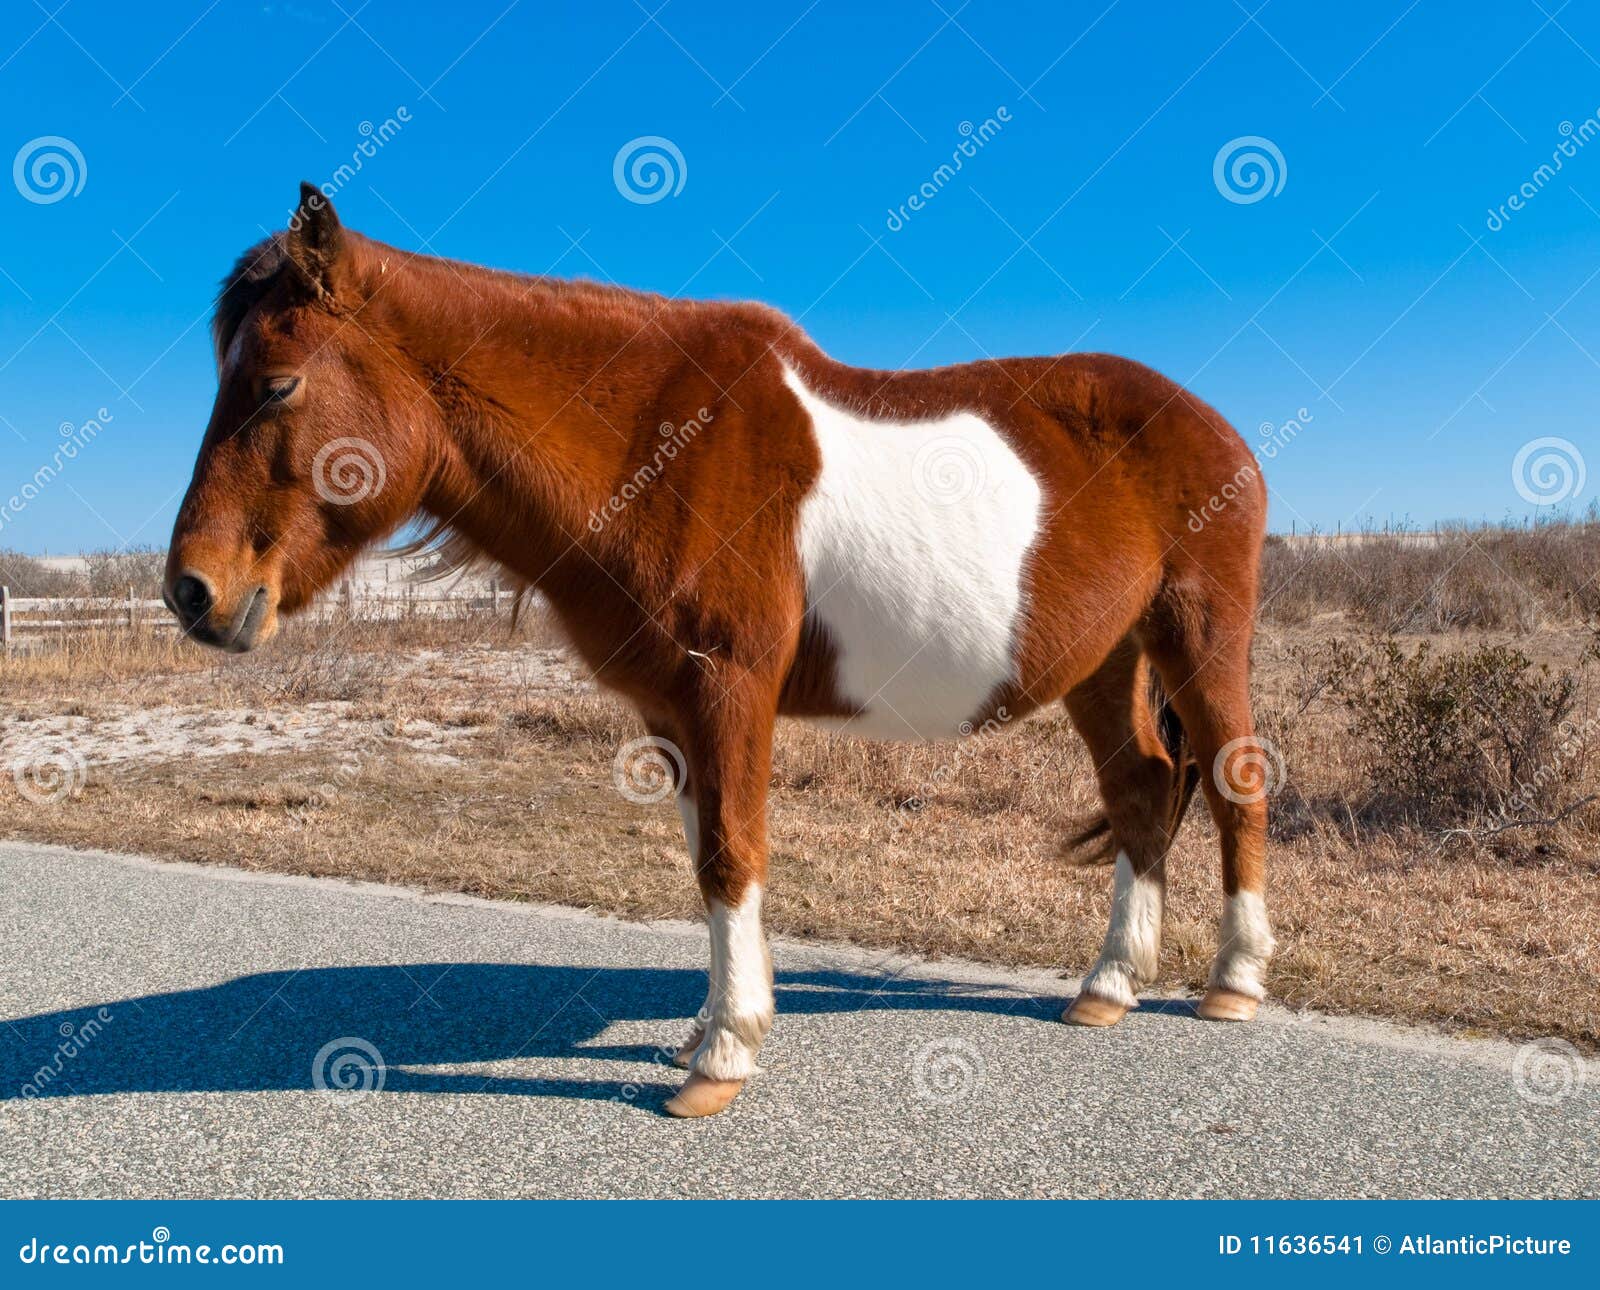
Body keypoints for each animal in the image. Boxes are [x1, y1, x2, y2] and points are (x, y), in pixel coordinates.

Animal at [166, 183, 1274, 1118]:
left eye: (276, 385)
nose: (193, 592)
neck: (654, 445)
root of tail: (1219, 432)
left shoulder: (729, 688)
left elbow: (733, 853)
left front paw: (723, 1057)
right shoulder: (671, 709)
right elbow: (705, 862)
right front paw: (706, 1030)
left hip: (1198, 632)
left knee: (1233, 781)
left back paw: (1232, 982)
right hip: (1104, 661)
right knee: (1141, 789)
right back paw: (1109, 986)